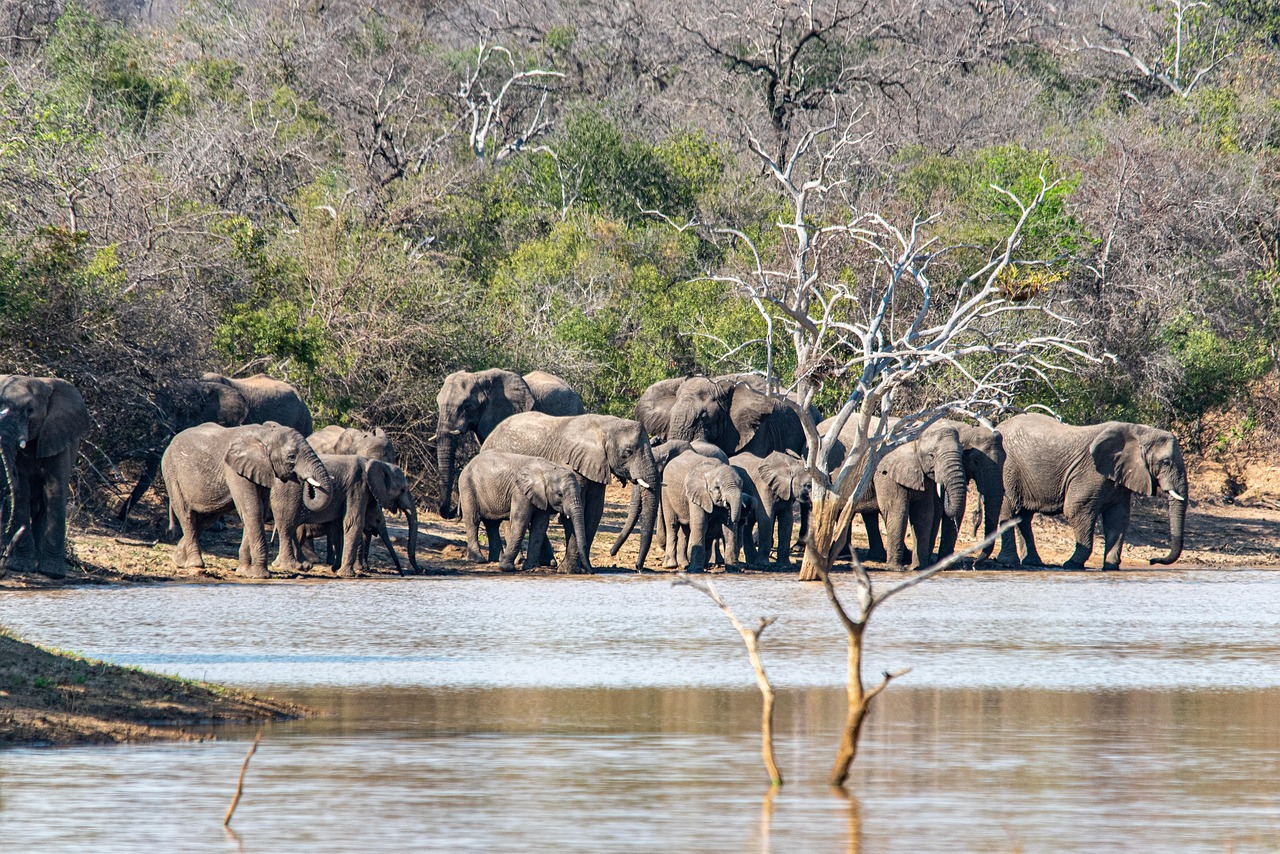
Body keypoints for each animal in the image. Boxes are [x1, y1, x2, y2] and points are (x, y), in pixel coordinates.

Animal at [0, 376, 91, 577]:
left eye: (30, 411)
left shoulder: (57, 436)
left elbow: (54, 490)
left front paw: (53, 573)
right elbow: (22, 491)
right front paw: (20, 566)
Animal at [161, 422, 332, 578]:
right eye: (291, 457)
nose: (306, 482)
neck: (264, 434)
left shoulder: (260, 470)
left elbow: (259, 512)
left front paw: (245, 572)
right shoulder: (234, 470)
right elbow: (253, 510)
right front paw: (260, 575)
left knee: (206, 518)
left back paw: (178, 560)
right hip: (171, 472)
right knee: (186, 515)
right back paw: (194, 563)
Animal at [458, 450, 591, 572]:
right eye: (560, 494)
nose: (591, 571)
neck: (548, 470)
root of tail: (468, 463)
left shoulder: (541, 496)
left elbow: (540, 525)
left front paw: (531, 567)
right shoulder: (520, 491)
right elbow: (521, 521)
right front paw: (506, 568)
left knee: (492, 524)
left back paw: (496, 559)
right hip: (467, 486)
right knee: (473, 520)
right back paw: (478, 560)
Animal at [480, 412, 660, 571]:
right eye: (627, 452)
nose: (638, 568)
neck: (605, 425)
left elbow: (594, 512)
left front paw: (583, 568)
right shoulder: (568, 464)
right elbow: (573, 513)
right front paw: (569, 570)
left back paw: (547, 563)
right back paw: (519, 561)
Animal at [995, 414, 1187, 570]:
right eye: (1166, 462)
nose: (1152, 561)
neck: (1139, 431)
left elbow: (1118, 518)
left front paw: (1110, 568)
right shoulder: (1090, 472)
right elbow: (1076, 510)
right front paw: (1071, 565)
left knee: (1024, 516)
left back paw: (1033, 562)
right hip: (1008, 469)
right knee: (1010, 510)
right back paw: (1009, 561)